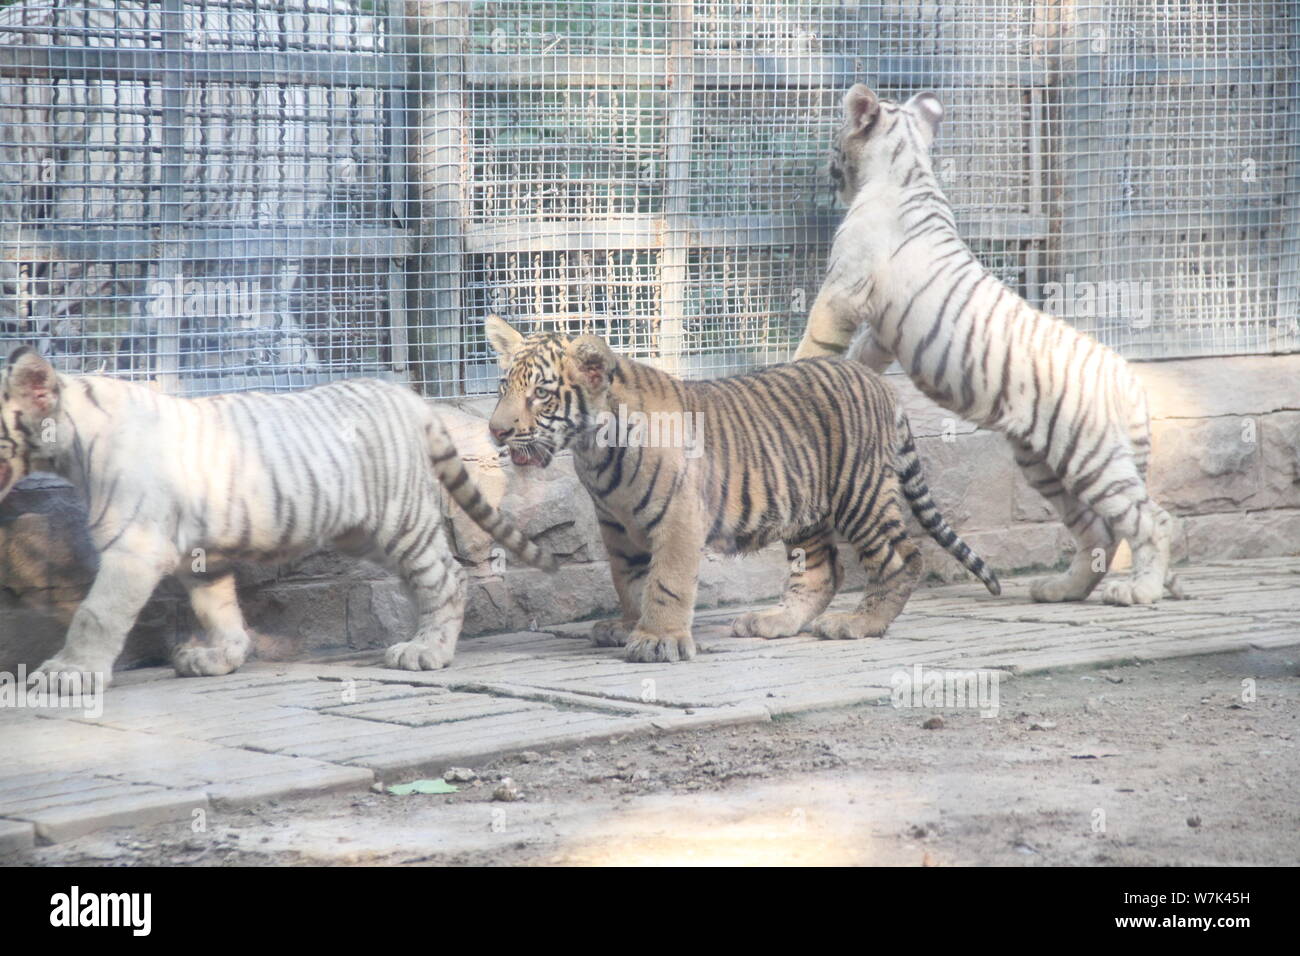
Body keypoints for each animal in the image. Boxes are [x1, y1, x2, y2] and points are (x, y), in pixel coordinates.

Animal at [0, 346, 555, 691]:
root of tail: (407, 396)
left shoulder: (134, 548)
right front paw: (219, 657)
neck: (70, 443)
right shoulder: (198, 553)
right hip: (362, 531)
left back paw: (426, 651)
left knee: (447, 577)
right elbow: (217, 607)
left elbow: (96, 614)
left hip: (397, 522)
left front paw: (66, 674)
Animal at [483, 314, 1000, 663]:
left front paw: (658, 640)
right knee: (822, 571)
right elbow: (629, 580)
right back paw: (774, 622)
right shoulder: (617, 526)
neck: (594, 448)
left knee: (902, 556)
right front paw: (629, 626)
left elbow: (666, 581)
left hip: (860, 494)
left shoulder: (678, 516)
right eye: (503, 386)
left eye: (541, 394)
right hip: (804, 509)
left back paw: (857, 624)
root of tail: (879, 381)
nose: (496, 431)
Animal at [795, 84, 1184, 607]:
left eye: (838, 141)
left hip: (1092, 457)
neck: (907, 163)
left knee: (1150, 521)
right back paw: (1059, 589)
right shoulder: (880, 328)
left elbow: (815, 340)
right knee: (1097, 531)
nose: (827, 169)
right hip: (1043, 463)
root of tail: (1128, 376)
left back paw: (1138, 591)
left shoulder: (844, 290)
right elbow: (862, 356)